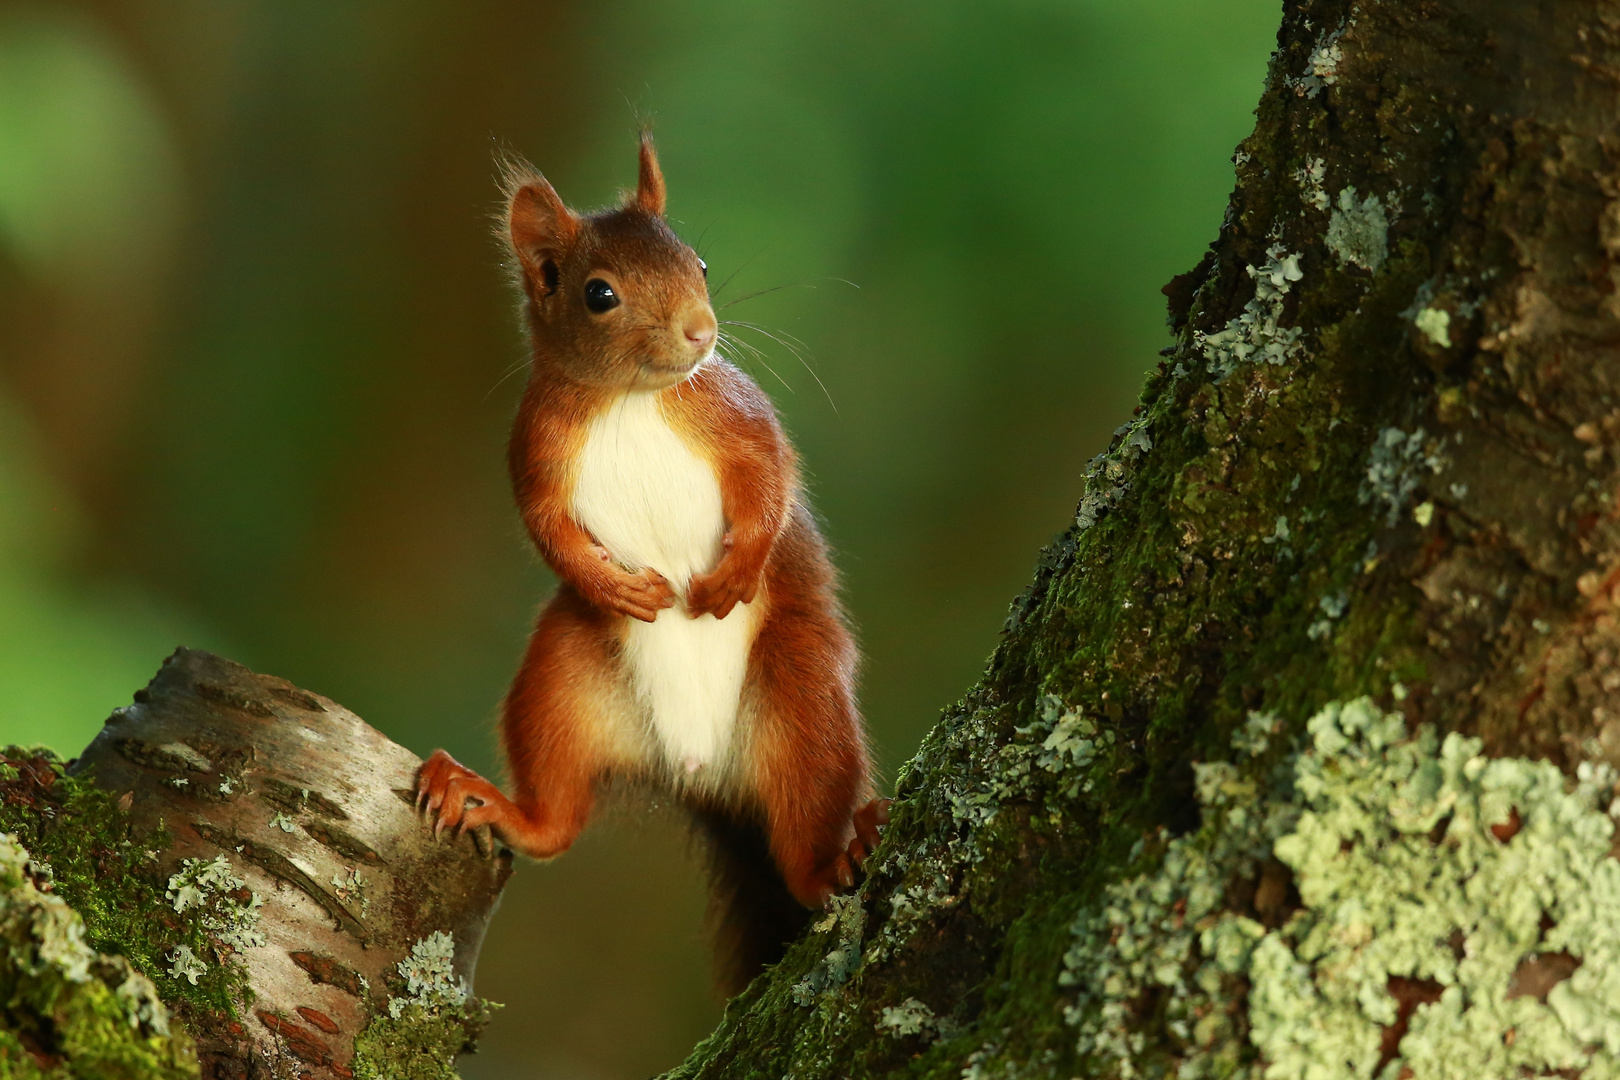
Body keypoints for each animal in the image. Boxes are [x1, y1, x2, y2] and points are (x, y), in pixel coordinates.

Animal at [414, 137, 887, 997]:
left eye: (696, 262)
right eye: (599, 294)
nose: (702, 331)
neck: (631, 398)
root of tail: (695, 768)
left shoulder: (739, 414)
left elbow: (771, 478)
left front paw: (734, 576)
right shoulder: (533, 453)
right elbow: (545, 530)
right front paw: (612, 583)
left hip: (802, 697)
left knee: (804, 845)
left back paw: (841, 858)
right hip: (561, 683)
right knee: (556, 823)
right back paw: (489, 799)